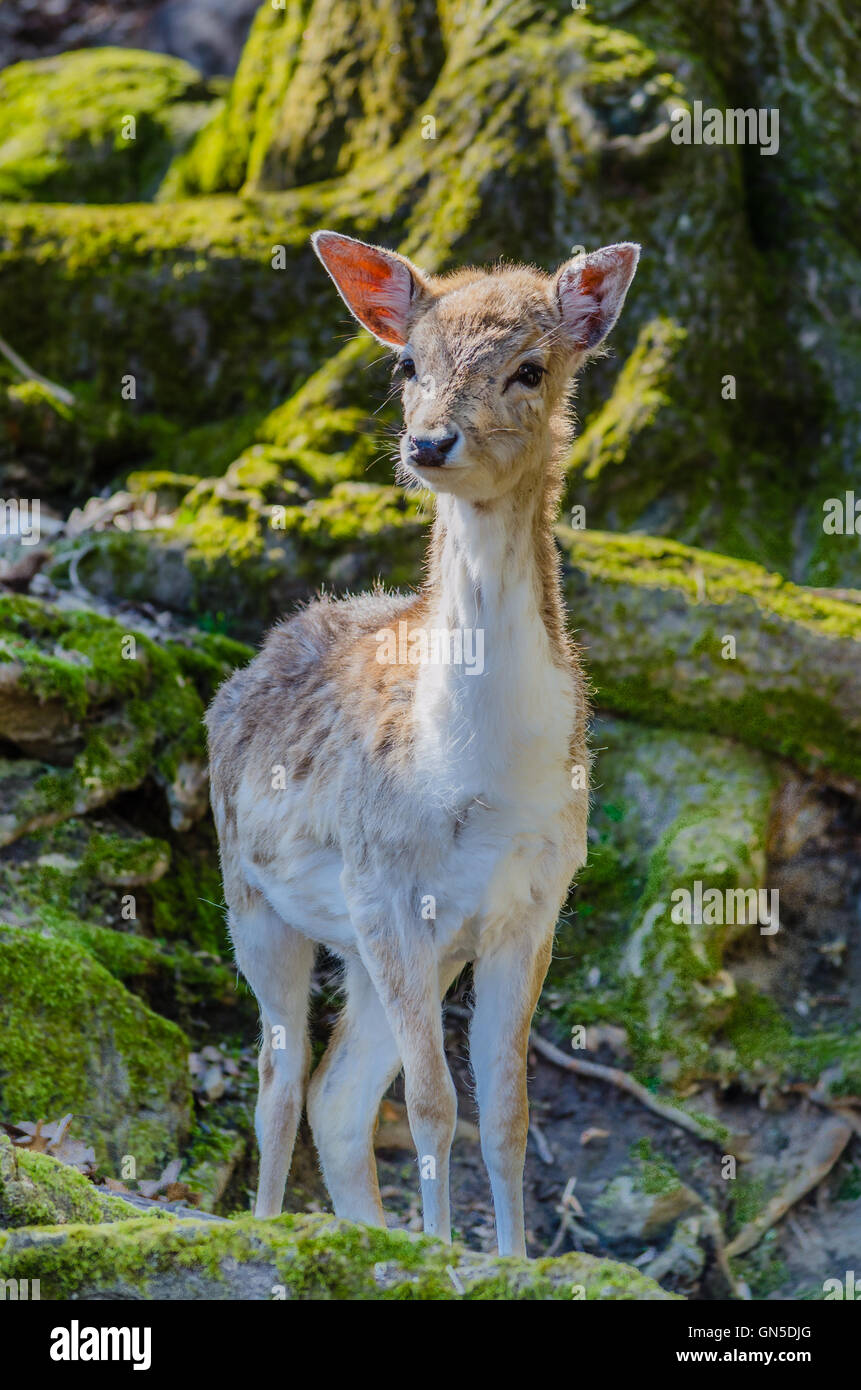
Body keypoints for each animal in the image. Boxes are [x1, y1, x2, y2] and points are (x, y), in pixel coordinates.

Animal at [206, 230, 639, 1256]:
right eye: (407, 363)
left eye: (530, 368)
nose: (429, 442)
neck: (476, 775)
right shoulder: (383, 882)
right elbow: (437, 1105)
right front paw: (450, 1254)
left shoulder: (535, 899)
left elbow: (507, 1111)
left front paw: (507, 1259)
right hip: (254, 899)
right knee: (281, 1082)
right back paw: (271, 1227)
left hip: (389, 952)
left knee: (337, 1093)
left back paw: (366, 1231)